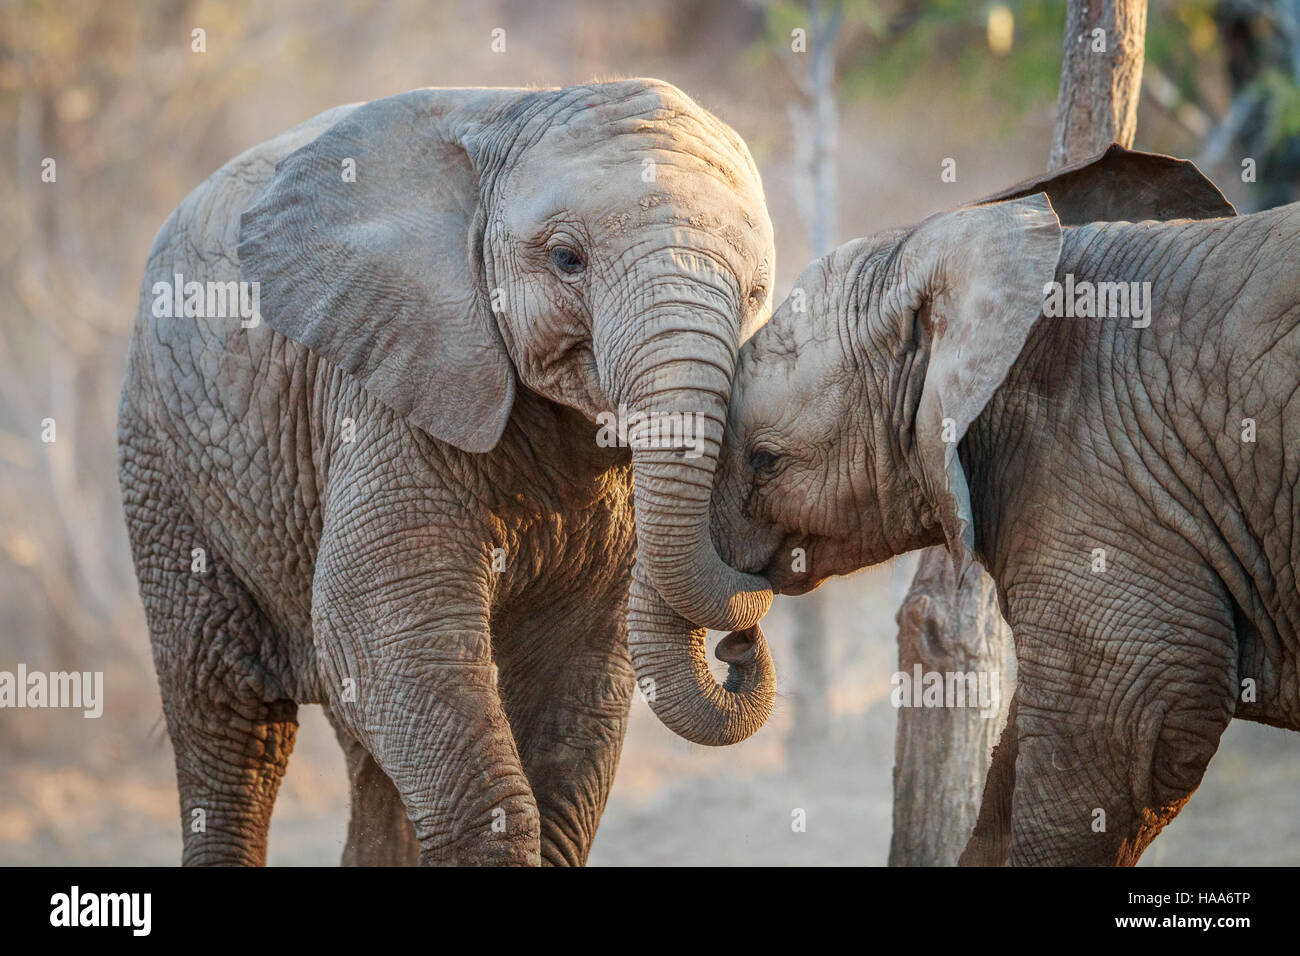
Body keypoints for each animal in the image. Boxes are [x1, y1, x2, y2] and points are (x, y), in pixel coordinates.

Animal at [117, 79, 780, 867]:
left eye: (755, 294)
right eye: (567, 259)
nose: (740, 648)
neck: (517, 111)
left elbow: (575, 666)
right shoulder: (387, 386)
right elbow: (381, 626)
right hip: (161, 457)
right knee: (226, 715)